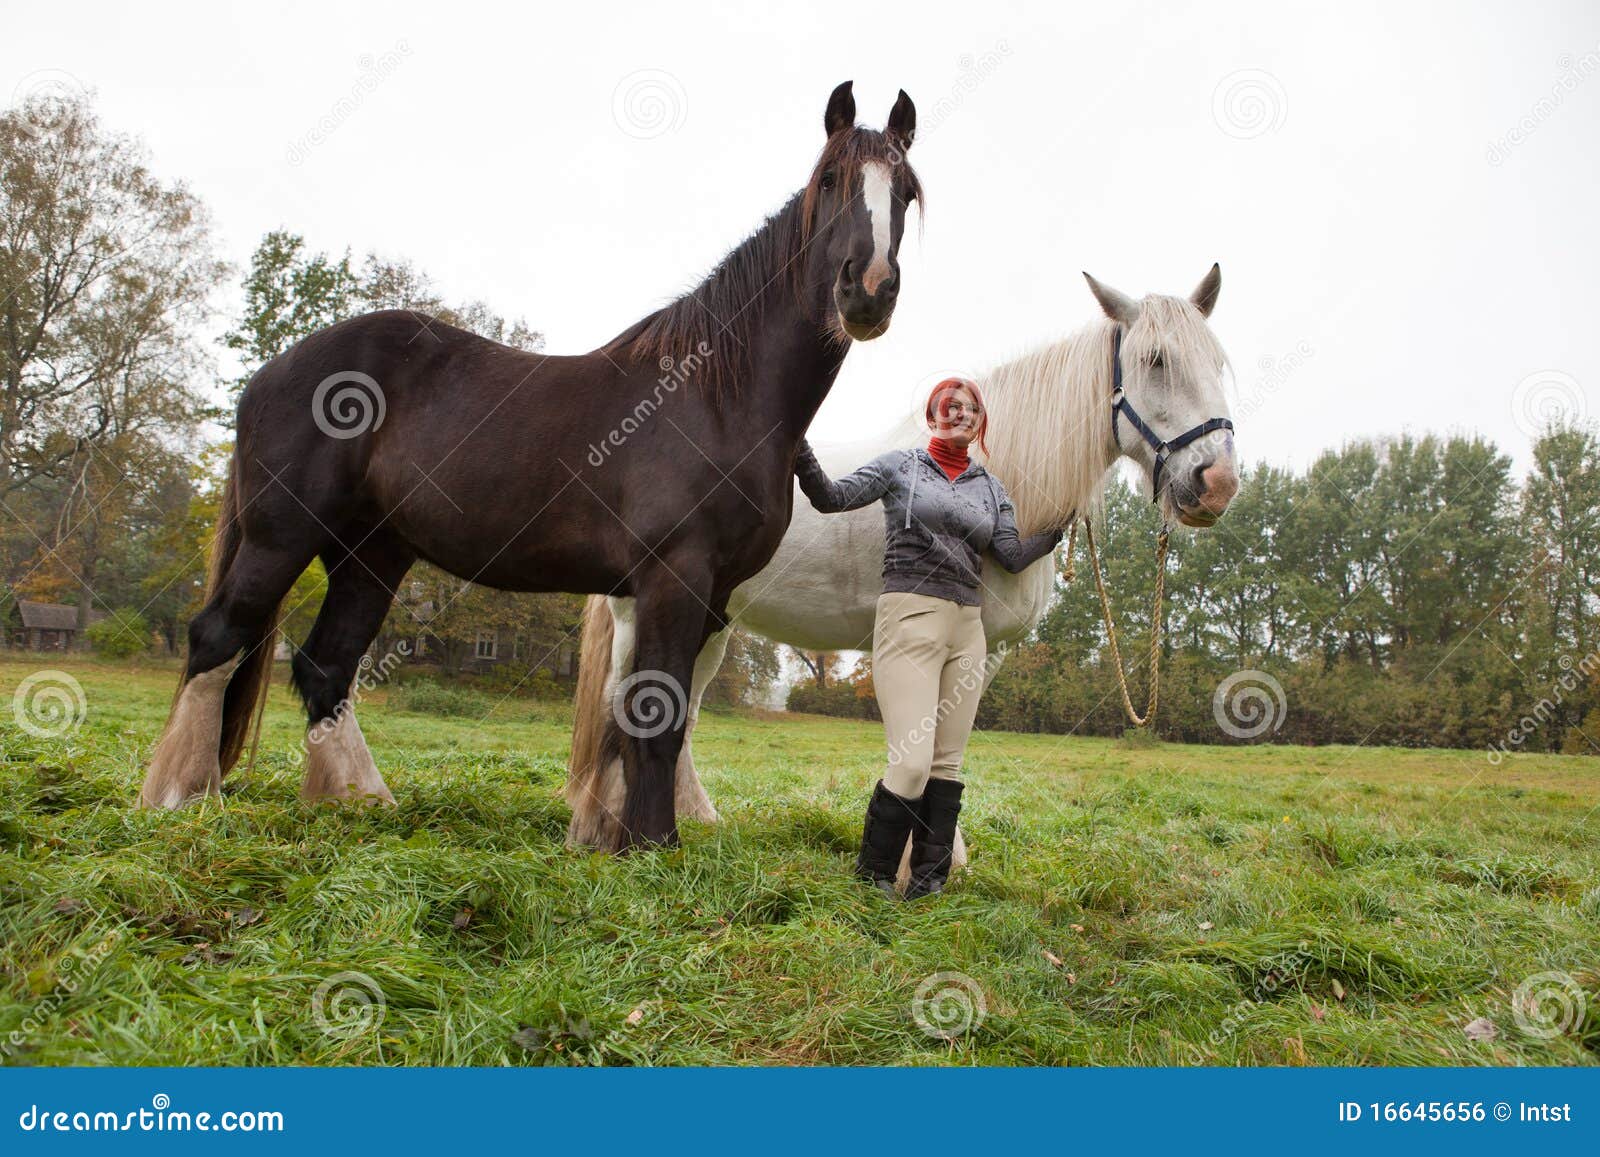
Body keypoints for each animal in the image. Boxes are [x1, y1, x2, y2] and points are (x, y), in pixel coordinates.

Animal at [140, 81, 923, 853]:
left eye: (908, 191)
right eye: (830, 180)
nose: (868, 289)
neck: (714, 394)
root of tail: (276, 369)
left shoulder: (708, 593)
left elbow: (642, 715)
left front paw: (619, 838)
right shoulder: (675, 576)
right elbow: (657, 713)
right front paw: (651, 847)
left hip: (370, 556)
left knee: (325, 665)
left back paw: (358, 802)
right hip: (280, 537)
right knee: (218, 637)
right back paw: (181, 796)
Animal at [567, 267, 1239, 867]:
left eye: (1217, 364)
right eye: (1155, 360)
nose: (1217, 484)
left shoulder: (986, 652)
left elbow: (948, 743)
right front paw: (914, 861)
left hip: (711, 624)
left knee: (682, 708)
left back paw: (693, 817)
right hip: (644, 615)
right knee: (622, 704)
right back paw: (600, 829)